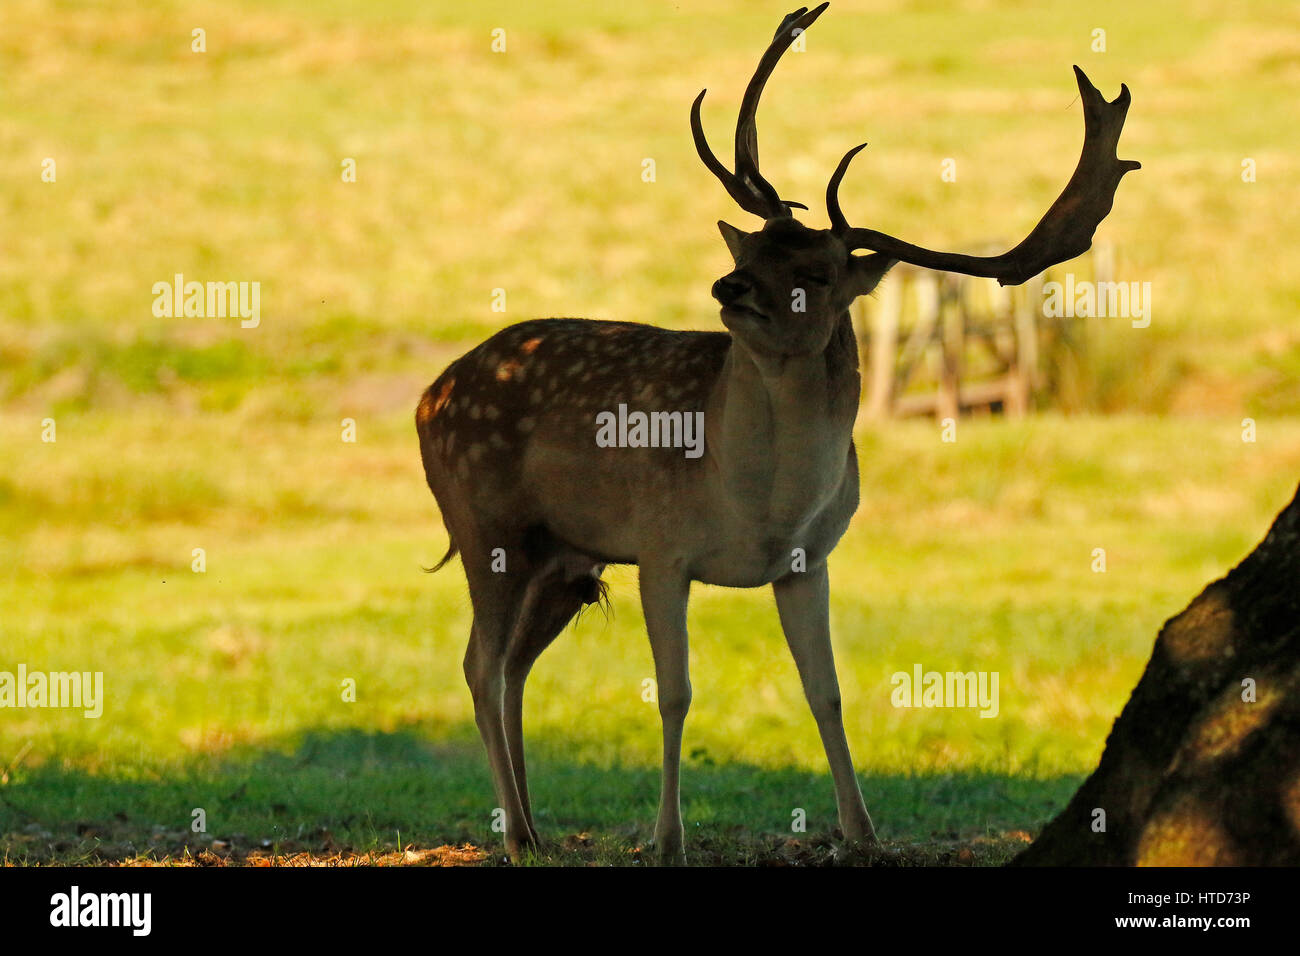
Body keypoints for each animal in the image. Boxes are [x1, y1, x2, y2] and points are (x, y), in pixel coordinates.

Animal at [416, 2, 1138, 864]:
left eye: (815, 273)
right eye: (755, 247)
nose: (728, 286)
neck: (762, 504)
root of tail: (426, 397)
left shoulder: (808, 560)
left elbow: (825, 692)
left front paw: (862, 831)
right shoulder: (662, 547)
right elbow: (675, 693)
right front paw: (669, 839)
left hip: (562, 559)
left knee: (514, 668)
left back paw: (532, 827)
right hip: (485, 523)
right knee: (479, 666)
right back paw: (516, 834)